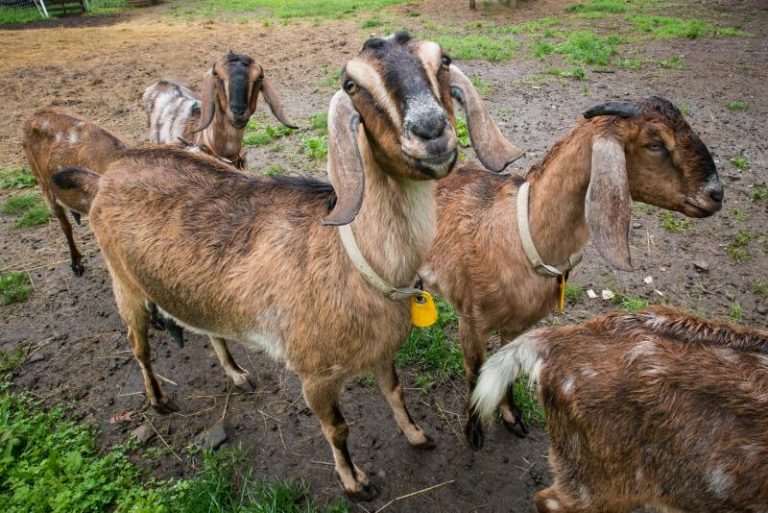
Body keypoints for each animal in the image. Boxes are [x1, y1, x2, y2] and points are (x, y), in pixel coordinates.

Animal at [421, 96, 724, 449]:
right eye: (655, 143)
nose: (716, 194)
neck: (518, 234)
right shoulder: (471, 320)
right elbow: (474, 371)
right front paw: (474, 431)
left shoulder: (518, 326)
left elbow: (506, 370)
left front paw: (513, 419)